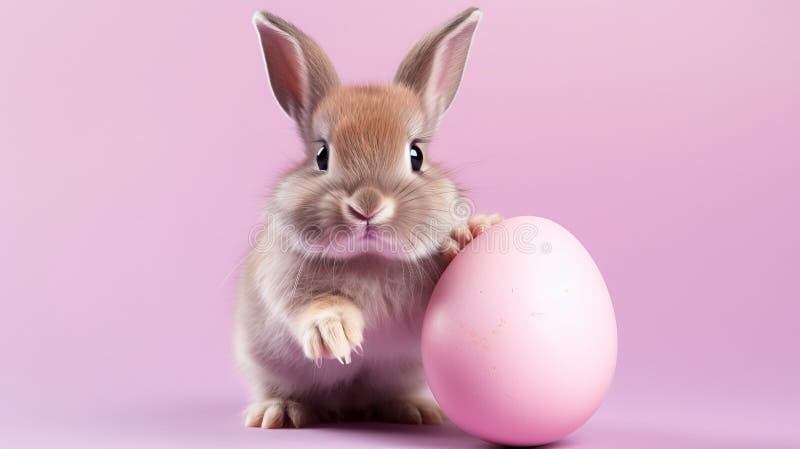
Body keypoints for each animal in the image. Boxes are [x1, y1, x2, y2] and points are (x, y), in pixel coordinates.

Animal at [236, 7, 502, 429]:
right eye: (322, 156)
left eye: (416, 155)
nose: (367, 205)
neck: (370, 259)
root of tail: (349, 406)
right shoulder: (285, 285)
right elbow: (315, 305)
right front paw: (335, 335)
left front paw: (472, 233)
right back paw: (279, 412)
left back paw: (415, 411)